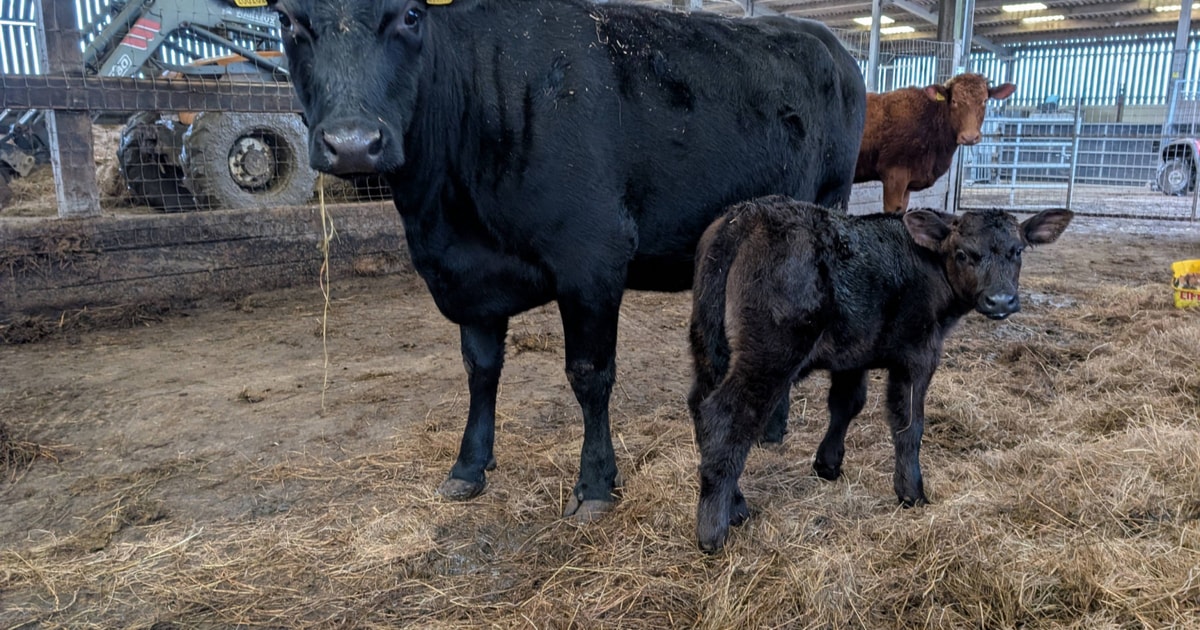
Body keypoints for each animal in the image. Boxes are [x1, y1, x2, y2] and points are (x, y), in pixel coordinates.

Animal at [266, 0, 866, 520]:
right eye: (287, 19)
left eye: (411, 14)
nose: (351, 143)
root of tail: (819, 35)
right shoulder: (470, 281)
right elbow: (480, 370)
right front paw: (469, 466)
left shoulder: (593, 257)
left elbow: (589, 375)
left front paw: (596, 483)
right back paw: (769, 429)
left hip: (827, 203)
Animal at [687, 196, 1071, 552]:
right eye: (963, 254)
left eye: (1017, 251)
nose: (1001, 300)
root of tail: (744, 217)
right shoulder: (918, 354)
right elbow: (908, 424)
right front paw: (911, 492)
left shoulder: (852, 354)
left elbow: (846, 404)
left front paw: (827, 465)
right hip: (770, 352)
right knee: (727, 416)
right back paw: (713, 531)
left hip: (708, 344)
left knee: (700, 408)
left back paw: (735, 504)